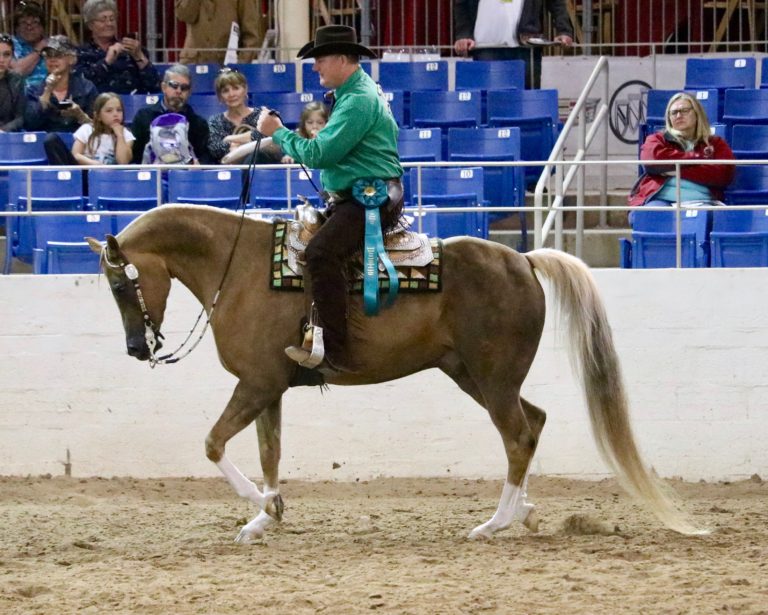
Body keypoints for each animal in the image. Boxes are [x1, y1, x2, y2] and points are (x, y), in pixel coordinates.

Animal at [88, 204, 701, 542]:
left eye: (121, 283)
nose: (136, 348)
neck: (238, 265)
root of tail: (524, 260)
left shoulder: (256, 384)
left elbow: (214, 444)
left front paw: (260, 507)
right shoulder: (271, 387)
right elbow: (269, 452)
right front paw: (267, 515)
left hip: (493, 377)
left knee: (518, 435)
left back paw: (495, 523)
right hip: (474, 376)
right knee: (534, 422)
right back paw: (522, 511)